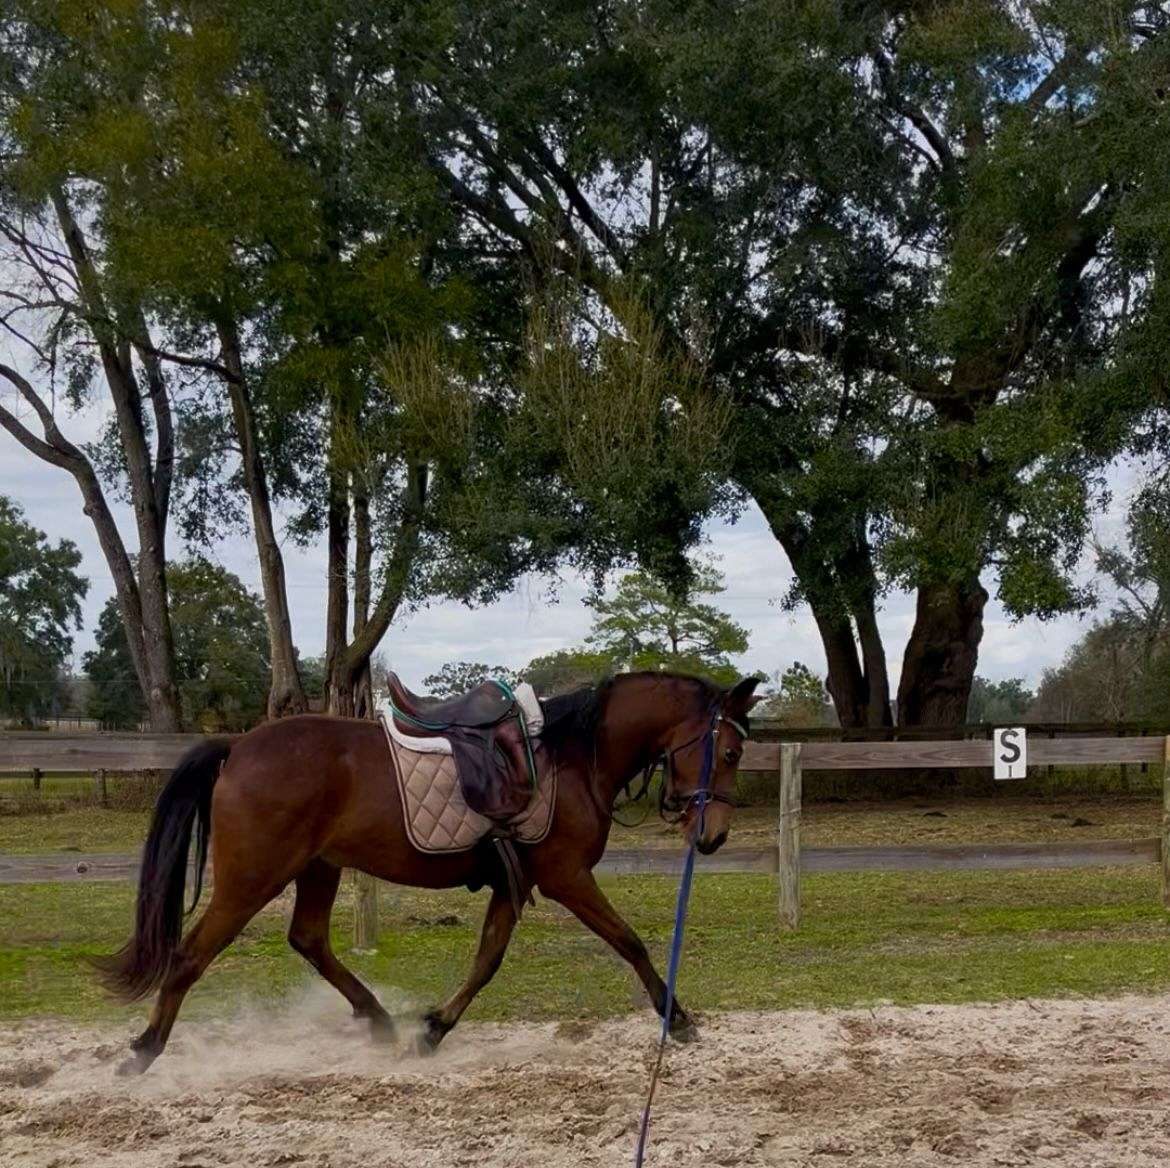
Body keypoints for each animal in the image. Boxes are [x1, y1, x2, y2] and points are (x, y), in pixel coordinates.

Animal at [95, 670, 761, 1075]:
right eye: (730, 751)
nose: (714, 836)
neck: (574, 755)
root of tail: (237, 747)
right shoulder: (566, 878)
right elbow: (630, 942)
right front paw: (677, 1016)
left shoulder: (516, 886)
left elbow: (487, 958)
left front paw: (434, 1028)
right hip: (251, 880)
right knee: (190, 957)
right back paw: (145, 1050)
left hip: (318, 869)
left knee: (309, 940)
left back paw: (380, 1021)